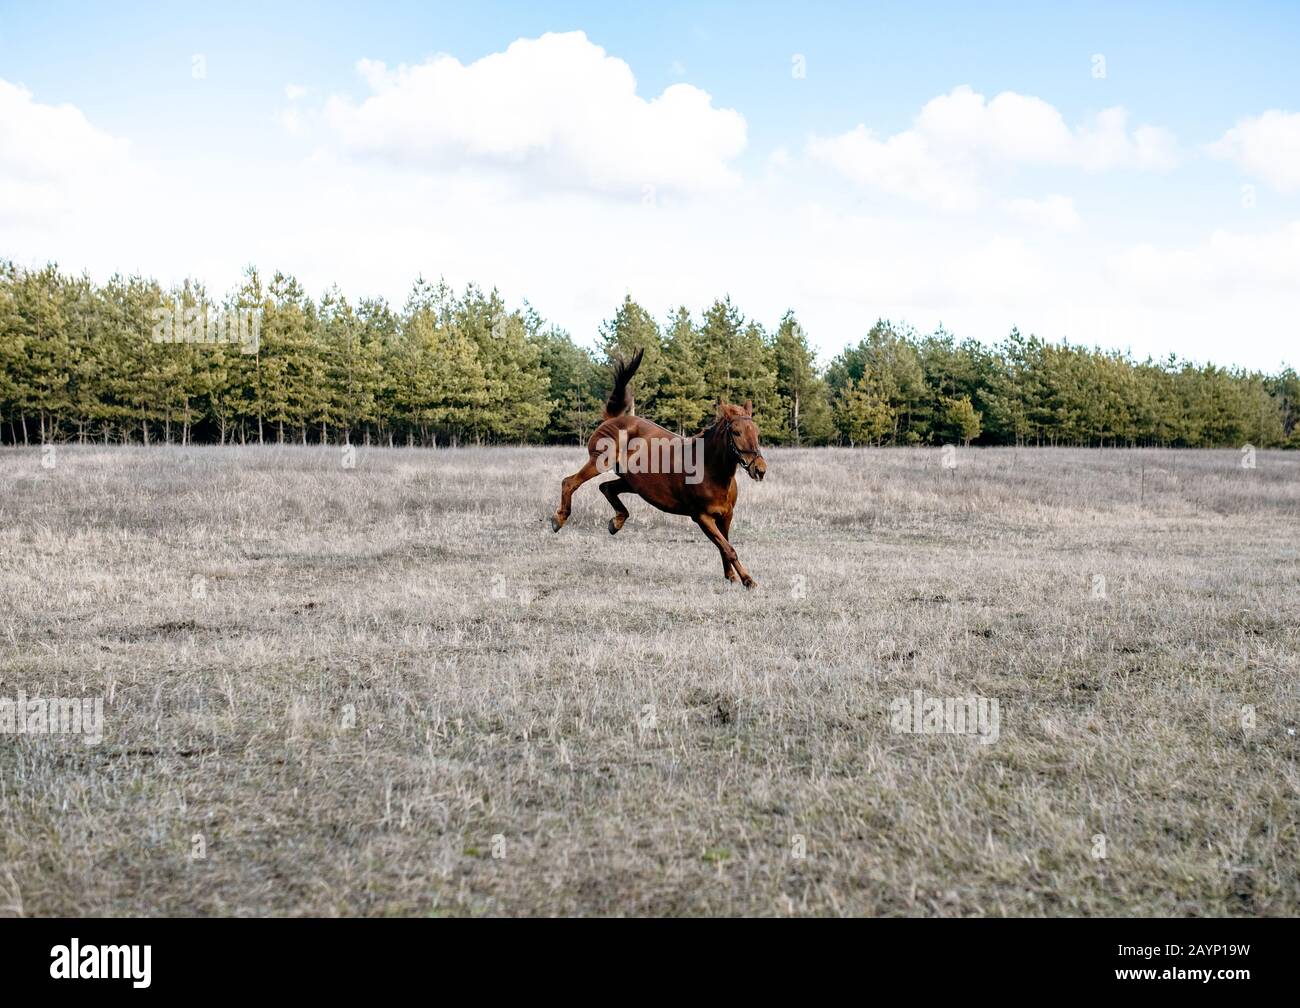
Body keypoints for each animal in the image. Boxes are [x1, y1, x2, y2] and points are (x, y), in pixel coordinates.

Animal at [550, 348, 768, 588]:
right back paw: (559, 520)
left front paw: (731, 576)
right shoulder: (702, 516)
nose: (760, 469)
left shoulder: (726, 515)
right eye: (736, 432)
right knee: (570, 482)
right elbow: (728, 548)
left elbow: (724, 545)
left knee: (606, 488)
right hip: (599, 462)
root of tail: (612, 419)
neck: (712, 471)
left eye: (756, 432)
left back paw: (616, 523)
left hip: (633, 482)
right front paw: (748, 580)